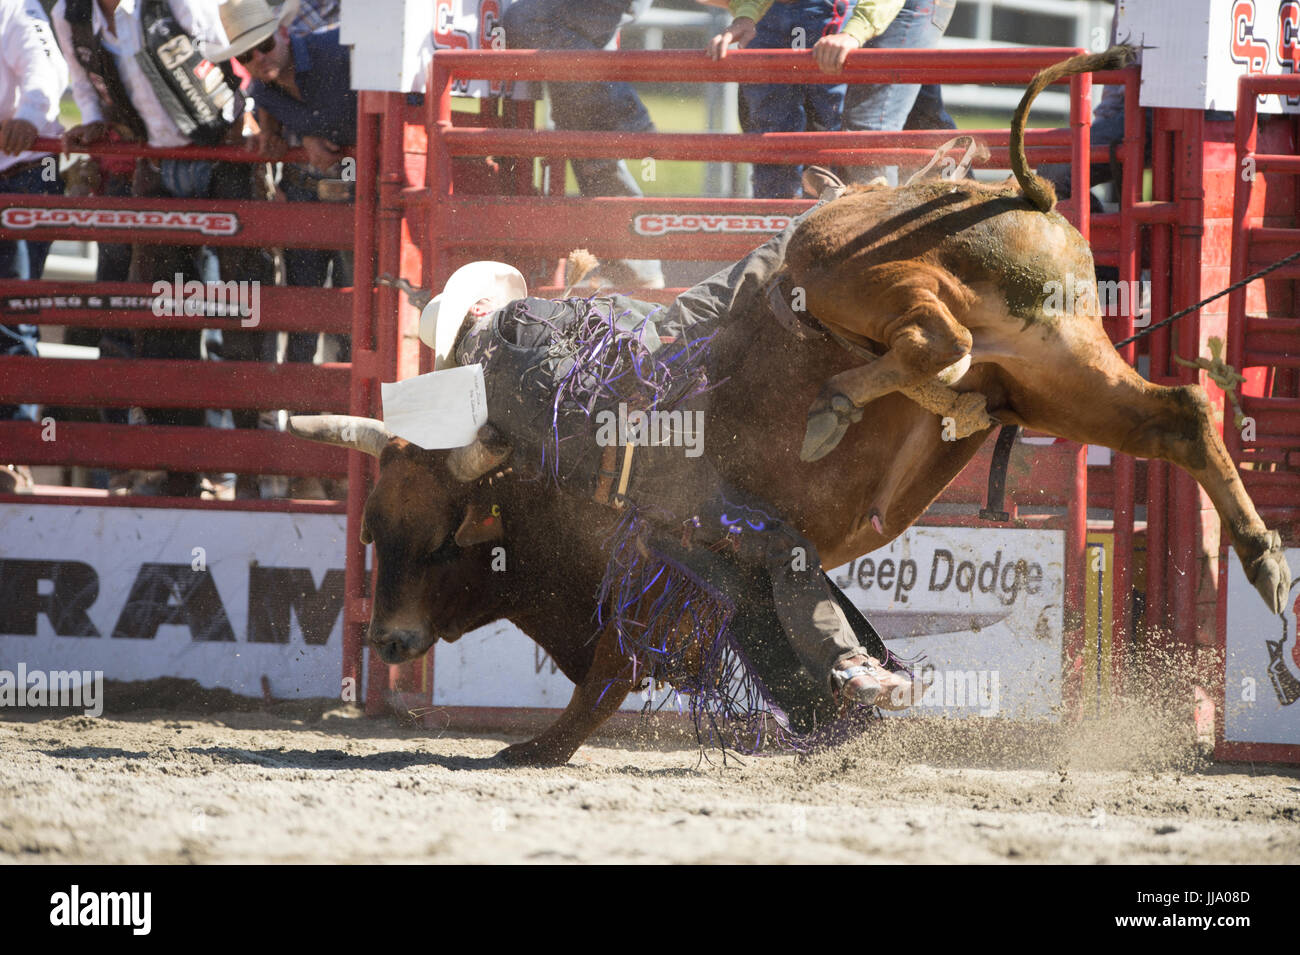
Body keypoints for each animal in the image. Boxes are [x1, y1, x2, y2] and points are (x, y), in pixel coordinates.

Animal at [288, 48, 1291, 765]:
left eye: (423, 530)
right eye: (372, 528)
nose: (389, 637)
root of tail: (1014, 191)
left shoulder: (683, 564)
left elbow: (625, 668)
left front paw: (536, 744)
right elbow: (799, 622)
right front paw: (856, 693)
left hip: (844, 266)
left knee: (931, 337)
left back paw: (851, 399)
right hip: (1063, 366)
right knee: (1176, 416)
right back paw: (1264, 559)